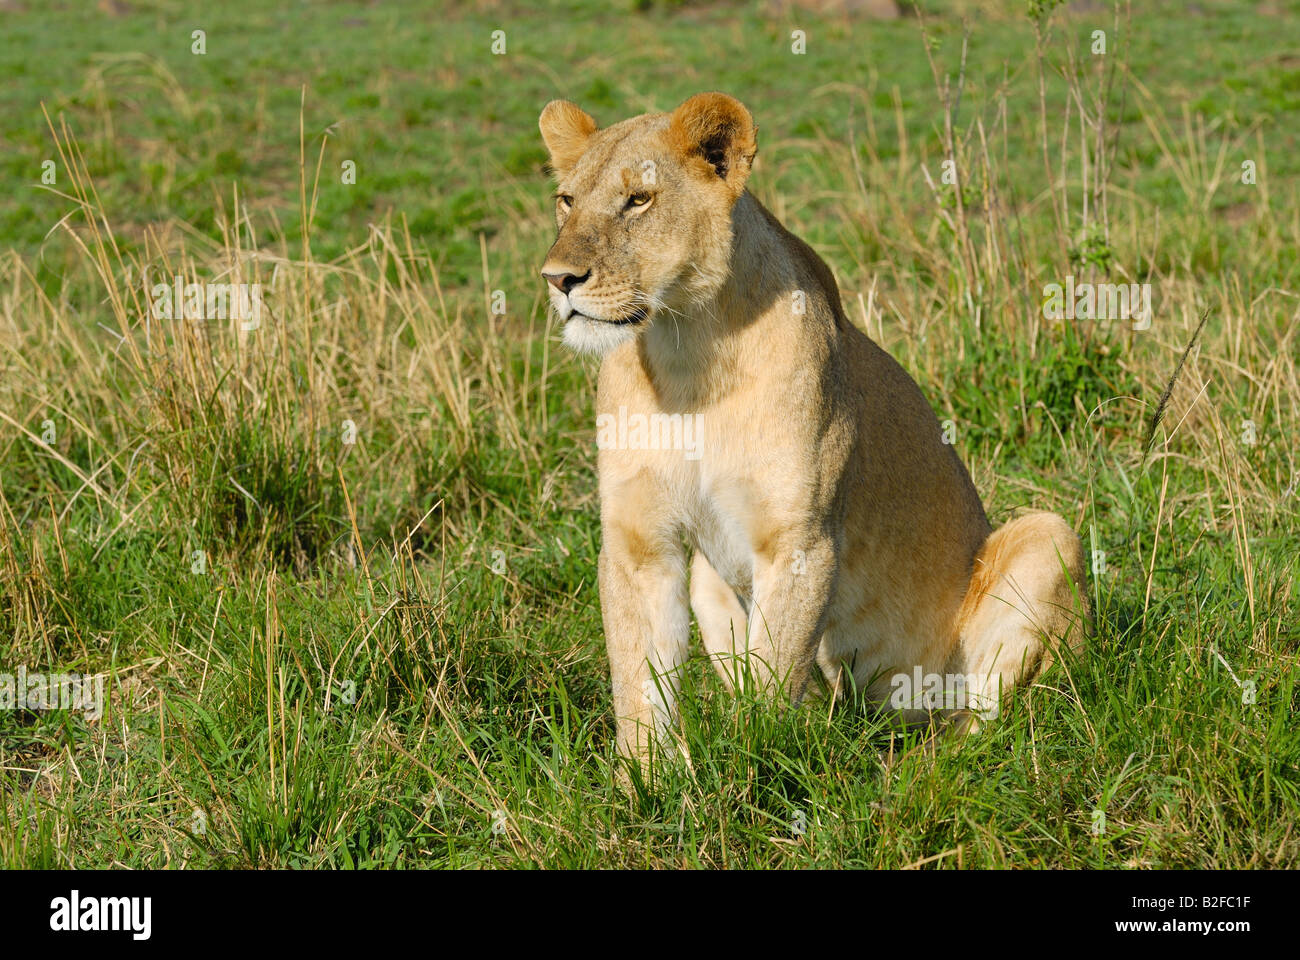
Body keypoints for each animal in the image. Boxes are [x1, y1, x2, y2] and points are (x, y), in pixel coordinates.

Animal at [538, 92, 1089, 761]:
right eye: (567, 200)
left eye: (637, 200)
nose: (558, 279)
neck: (687, 358)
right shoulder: (640, 542)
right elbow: (639, 684)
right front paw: (647, 780)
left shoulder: (798, 540)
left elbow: (774, 677)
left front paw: (748, 771)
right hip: (707, 582)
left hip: (1047, 540)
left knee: (988, 725)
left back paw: (917, 764)